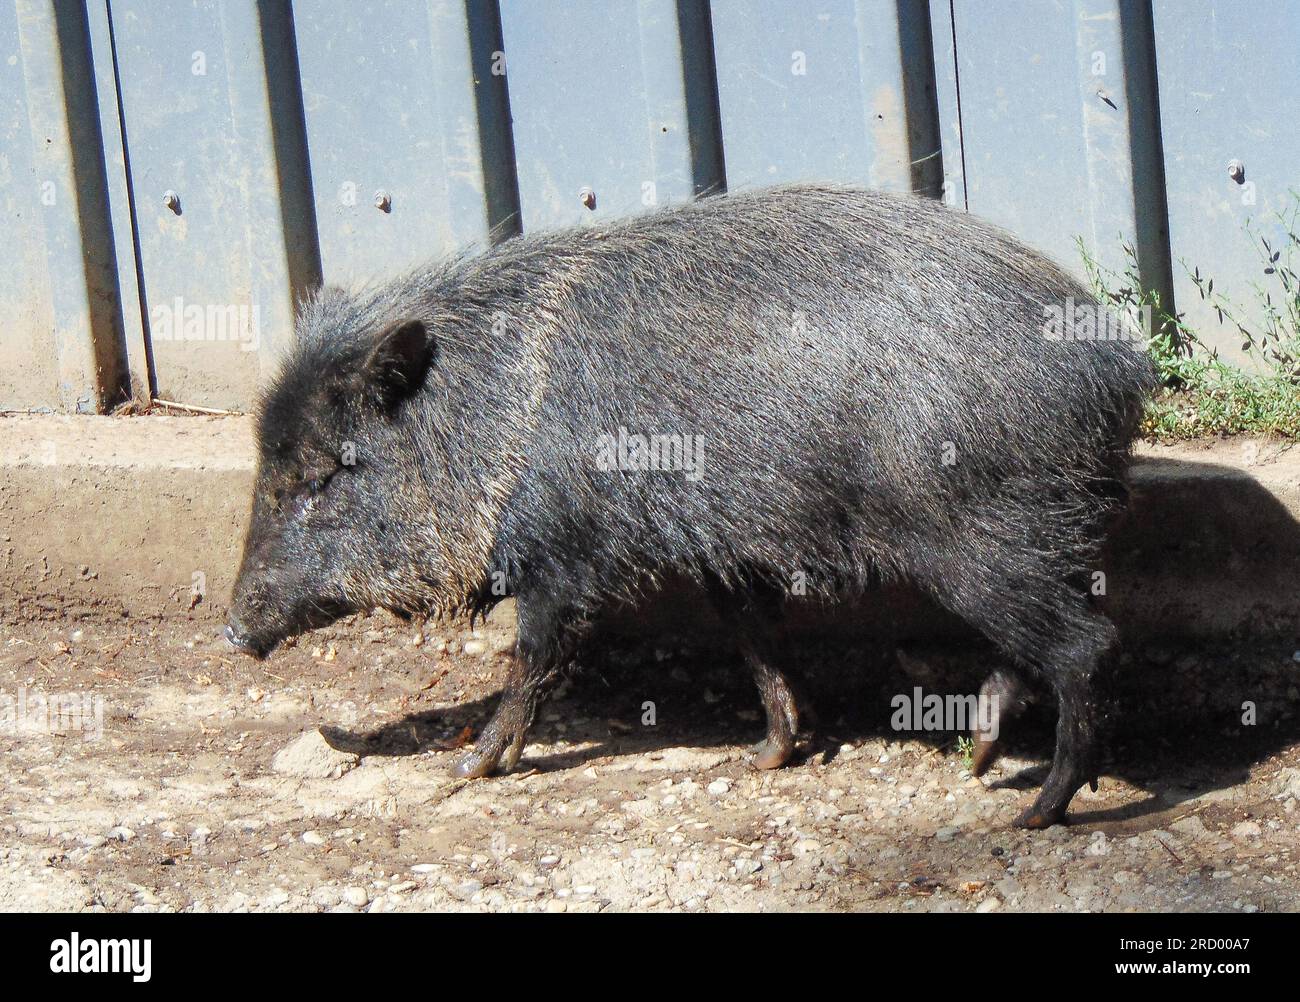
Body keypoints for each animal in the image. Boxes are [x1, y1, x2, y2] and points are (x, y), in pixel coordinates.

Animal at [225, 183, 1155, 828]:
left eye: (322, 474)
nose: (232, 631)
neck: (494, 417)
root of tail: (1120, 368)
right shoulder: (720, 553)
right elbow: (753, 638)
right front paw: (766, 757)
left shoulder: (564, 558)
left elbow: (532, 661)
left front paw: (467, 770)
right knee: (1039, 648)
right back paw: (981, 756)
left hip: (984, 537)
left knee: (1087, 647)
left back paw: (1031, 812)